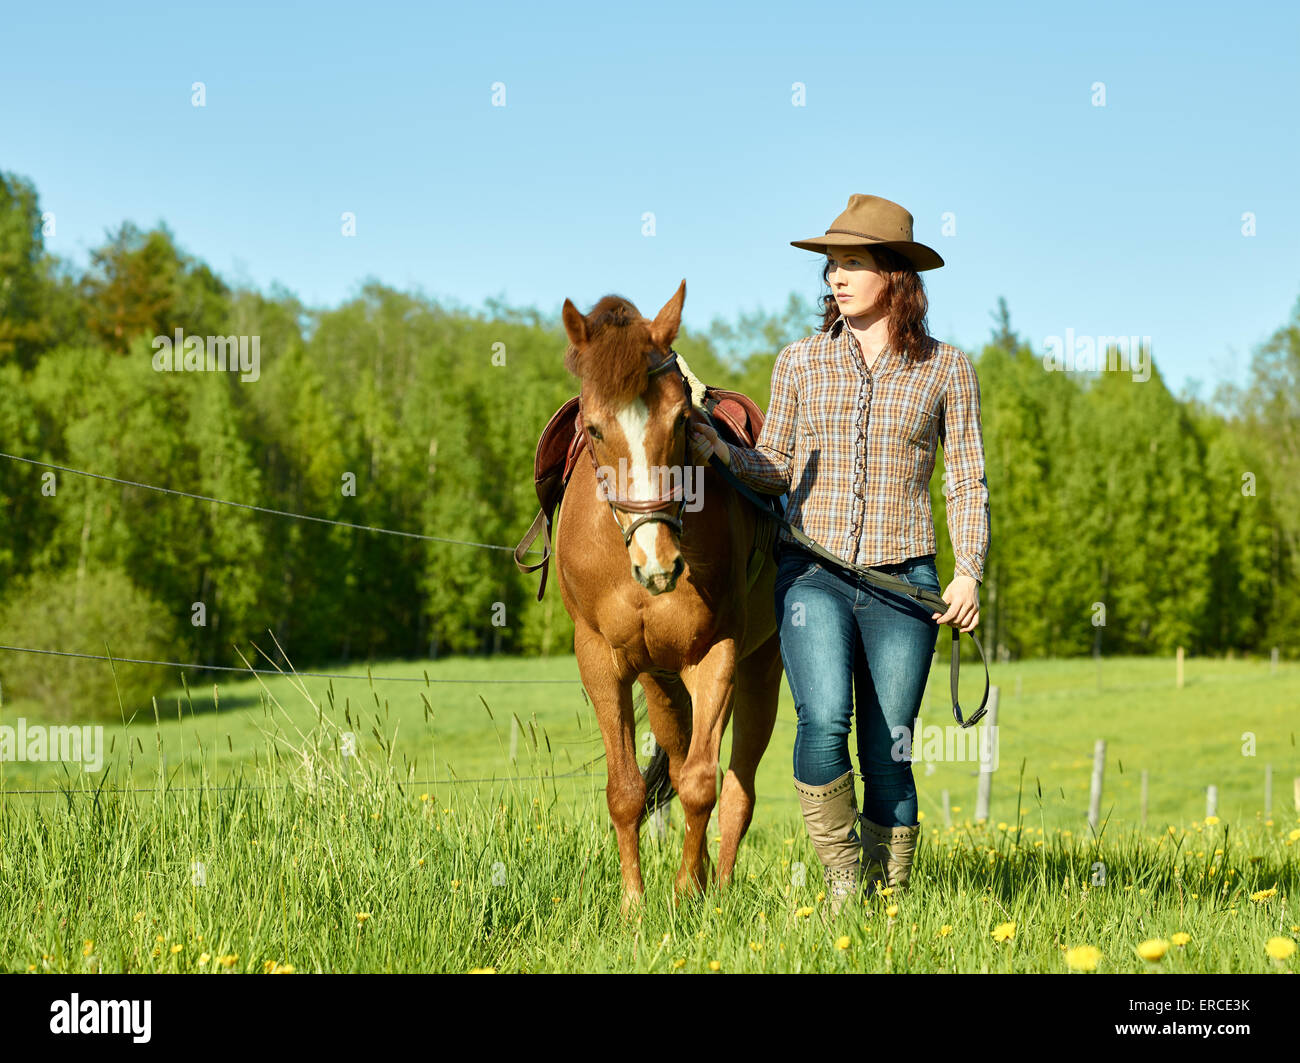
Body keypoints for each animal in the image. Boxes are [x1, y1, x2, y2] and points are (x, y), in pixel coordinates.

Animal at [553, 280, 783, 917]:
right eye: (594, 429)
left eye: (680, 420)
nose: (658, 566)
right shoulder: (601, 660)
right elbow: (628, 790)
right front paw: (634, 905)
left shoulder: (719, 653)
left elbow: (704, 784)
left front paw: (685, 895)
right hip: (661, 682)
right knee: (678, 765)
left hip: (761, 669)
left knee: (736, 791)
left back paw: (716, 884)